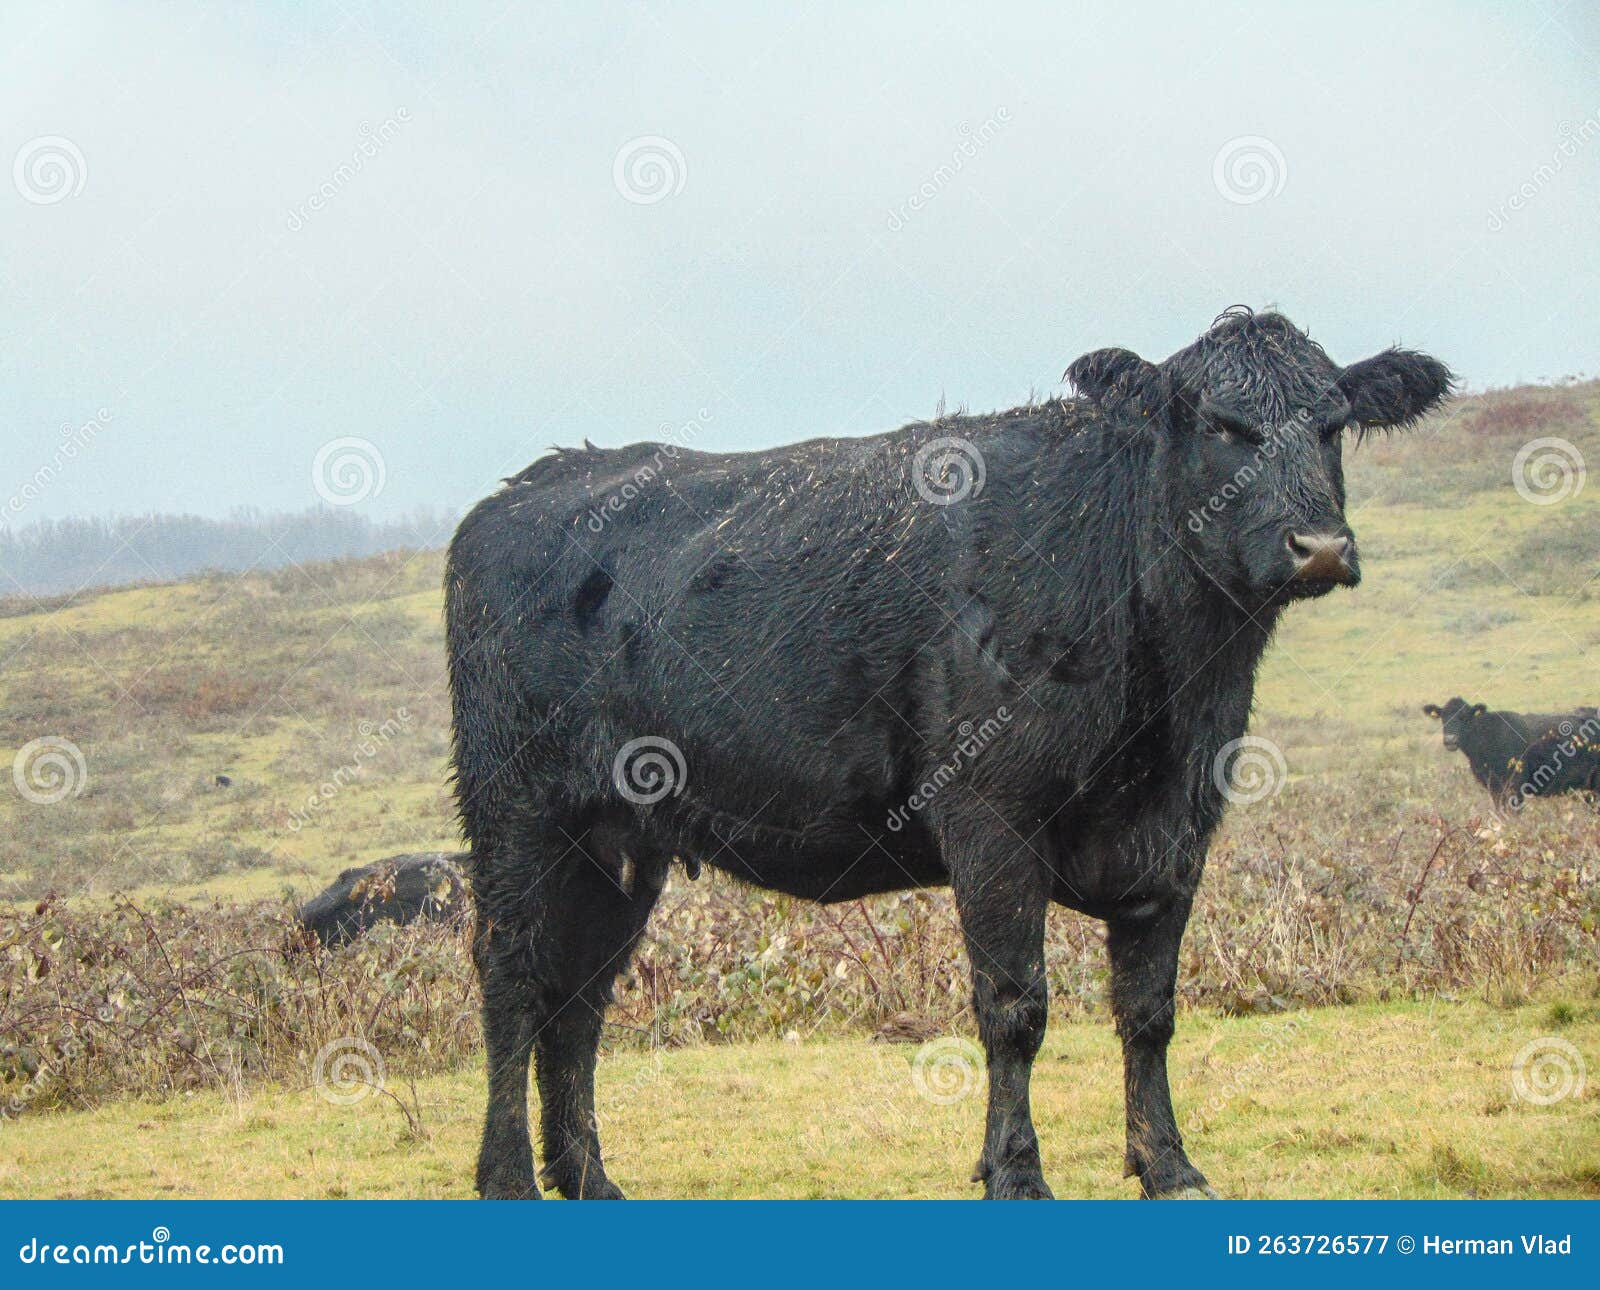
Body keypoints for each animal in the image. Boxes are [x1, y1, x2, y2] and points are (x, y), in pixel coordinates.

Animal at [446, 307, 1450, 1200]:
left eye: (1334, 424)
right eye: (1222, 425)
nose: (1320, 546)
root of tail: (520, 489)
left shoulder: (1177, 833)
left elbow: (1149, 1011)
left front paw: (1170, 1167)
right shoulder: (991, 815)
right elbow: (1016, 1009)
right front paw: (1017, 1173)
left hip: (620, 845)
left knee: (577, 1007)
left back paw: (590, 1180)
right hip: (517, 813)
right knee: (512, 981)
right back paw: (508, 1180)